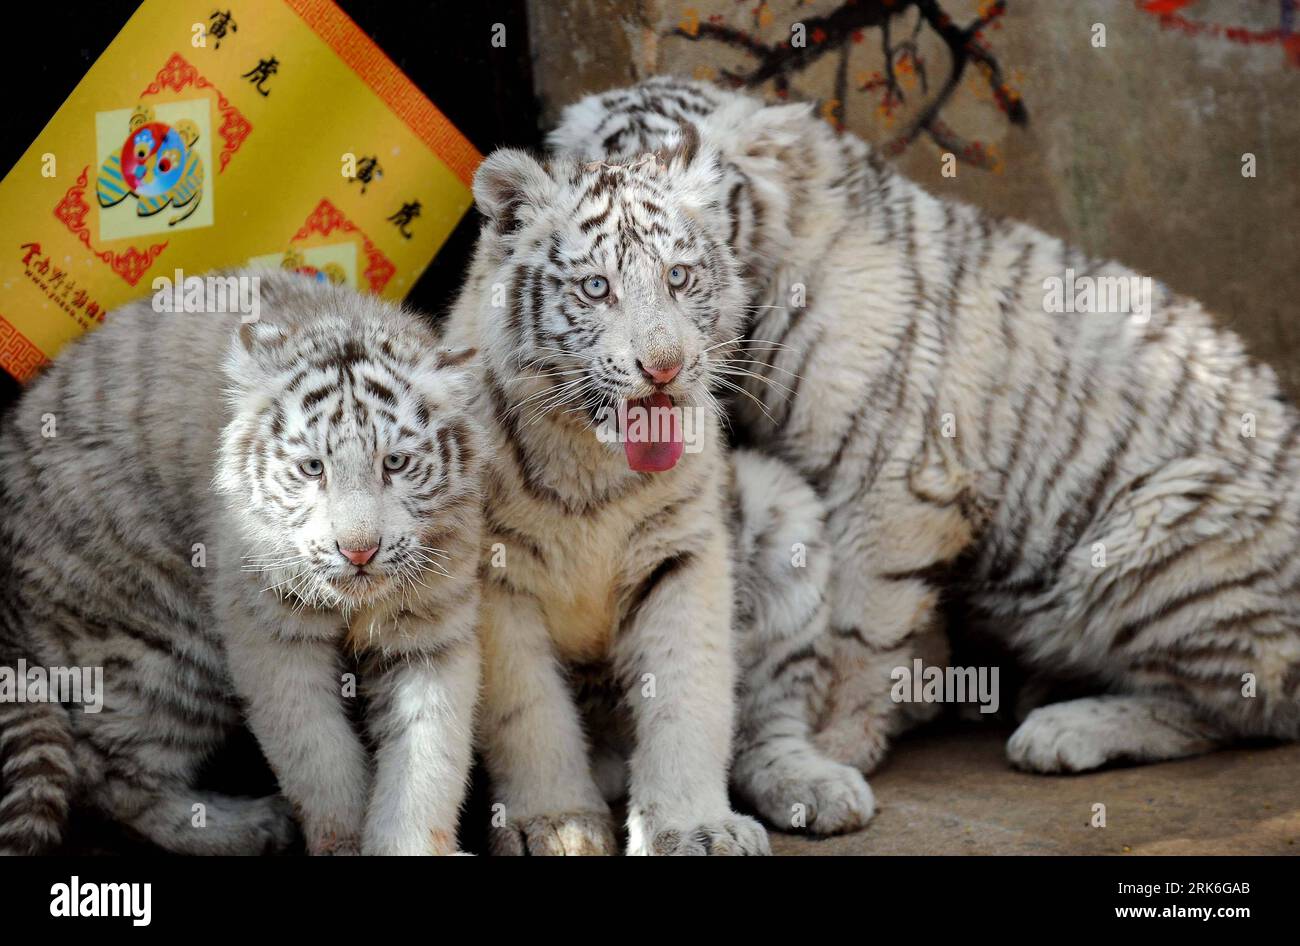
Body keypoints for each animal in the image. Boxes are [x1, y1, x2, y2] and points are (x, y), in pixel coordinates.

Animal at [0, 270, 483, 855]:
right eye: (313, 468)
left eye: (395, 463)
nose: (358, 551)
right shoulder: (267, 634)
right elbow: (316, 756)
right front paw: (339, 841)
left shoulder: (431, 633)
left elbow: (426, 762)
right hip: (164, 654)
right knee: (110, 779)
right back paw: (254, 825)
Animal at [445, 130, 874, 853]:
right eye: (596, 288)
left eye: (678, 277)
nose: (665, 367)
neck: (591, 461)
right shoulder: (494, 581)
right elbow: (527, 714)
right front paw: (556, 826)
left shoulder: (683, 555)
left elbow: (688, 695)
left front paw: (696, 827)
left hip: (782, 511)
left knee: (770, 721)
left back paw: (818, 788)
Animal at [549, 77, 1300, 780]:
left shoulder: (892, 477)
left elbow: (859, 626)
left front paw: (836, 741)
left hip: (1164, 527)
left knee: (1245, 706)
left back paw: (1064, 729)